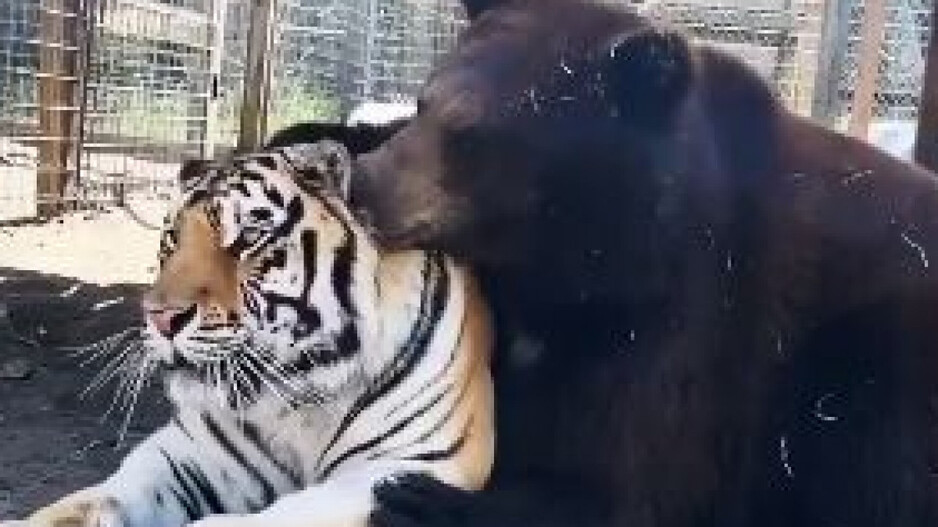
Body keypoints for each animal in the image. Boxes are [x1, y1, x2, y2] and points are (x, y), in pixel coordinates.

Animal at [3, 142, 494, 527]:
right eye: (172, 238)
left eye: (248, 237)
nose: (159, 317)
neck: (303, 394)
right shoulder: (190, 456)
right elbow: (94, 499)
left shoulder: (405, 469)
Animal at [347, 0, 938, 526]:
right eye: (422, 103)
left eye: (471, 133)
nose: (365, 185)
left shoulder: (697, 322)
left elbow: (636, 479)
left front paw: (420, 498)